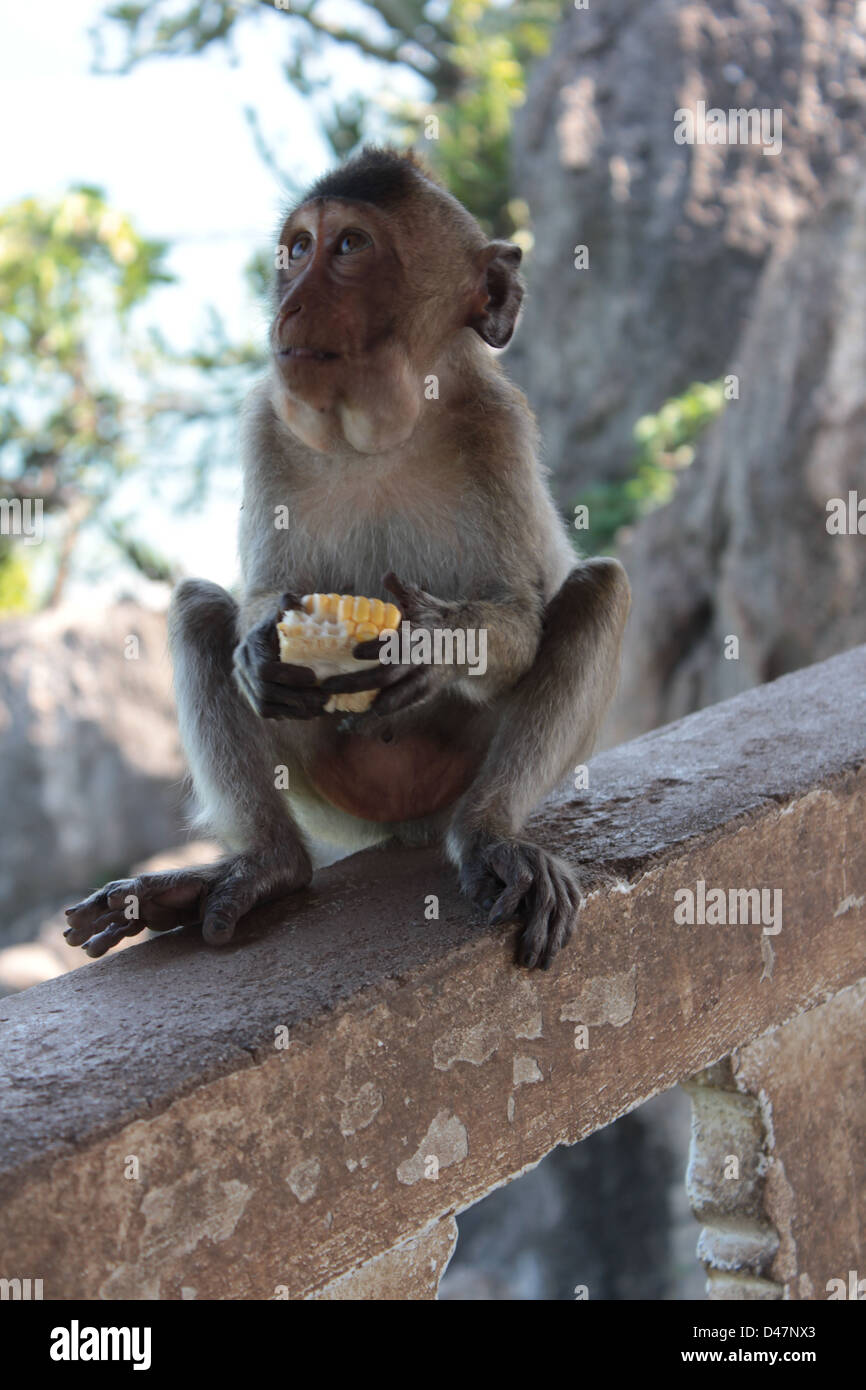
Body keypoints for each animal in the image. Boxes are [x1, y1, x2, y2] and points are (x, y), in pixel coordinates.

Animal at [64, 147, 630, 971]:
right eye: (299, 248)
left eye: (351, 247)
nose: (290, 305)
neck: (381, 434)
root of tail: (398, 825)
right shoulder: (267, 419)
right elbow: (265, 592)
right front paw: (258, 649)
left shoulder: (499, 428)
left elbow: (520, 614)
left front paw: (435, 642)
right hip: (328, 793)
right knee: (199, 612)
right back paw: (262, 865)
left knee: (599, 591)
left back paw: (489, 835)